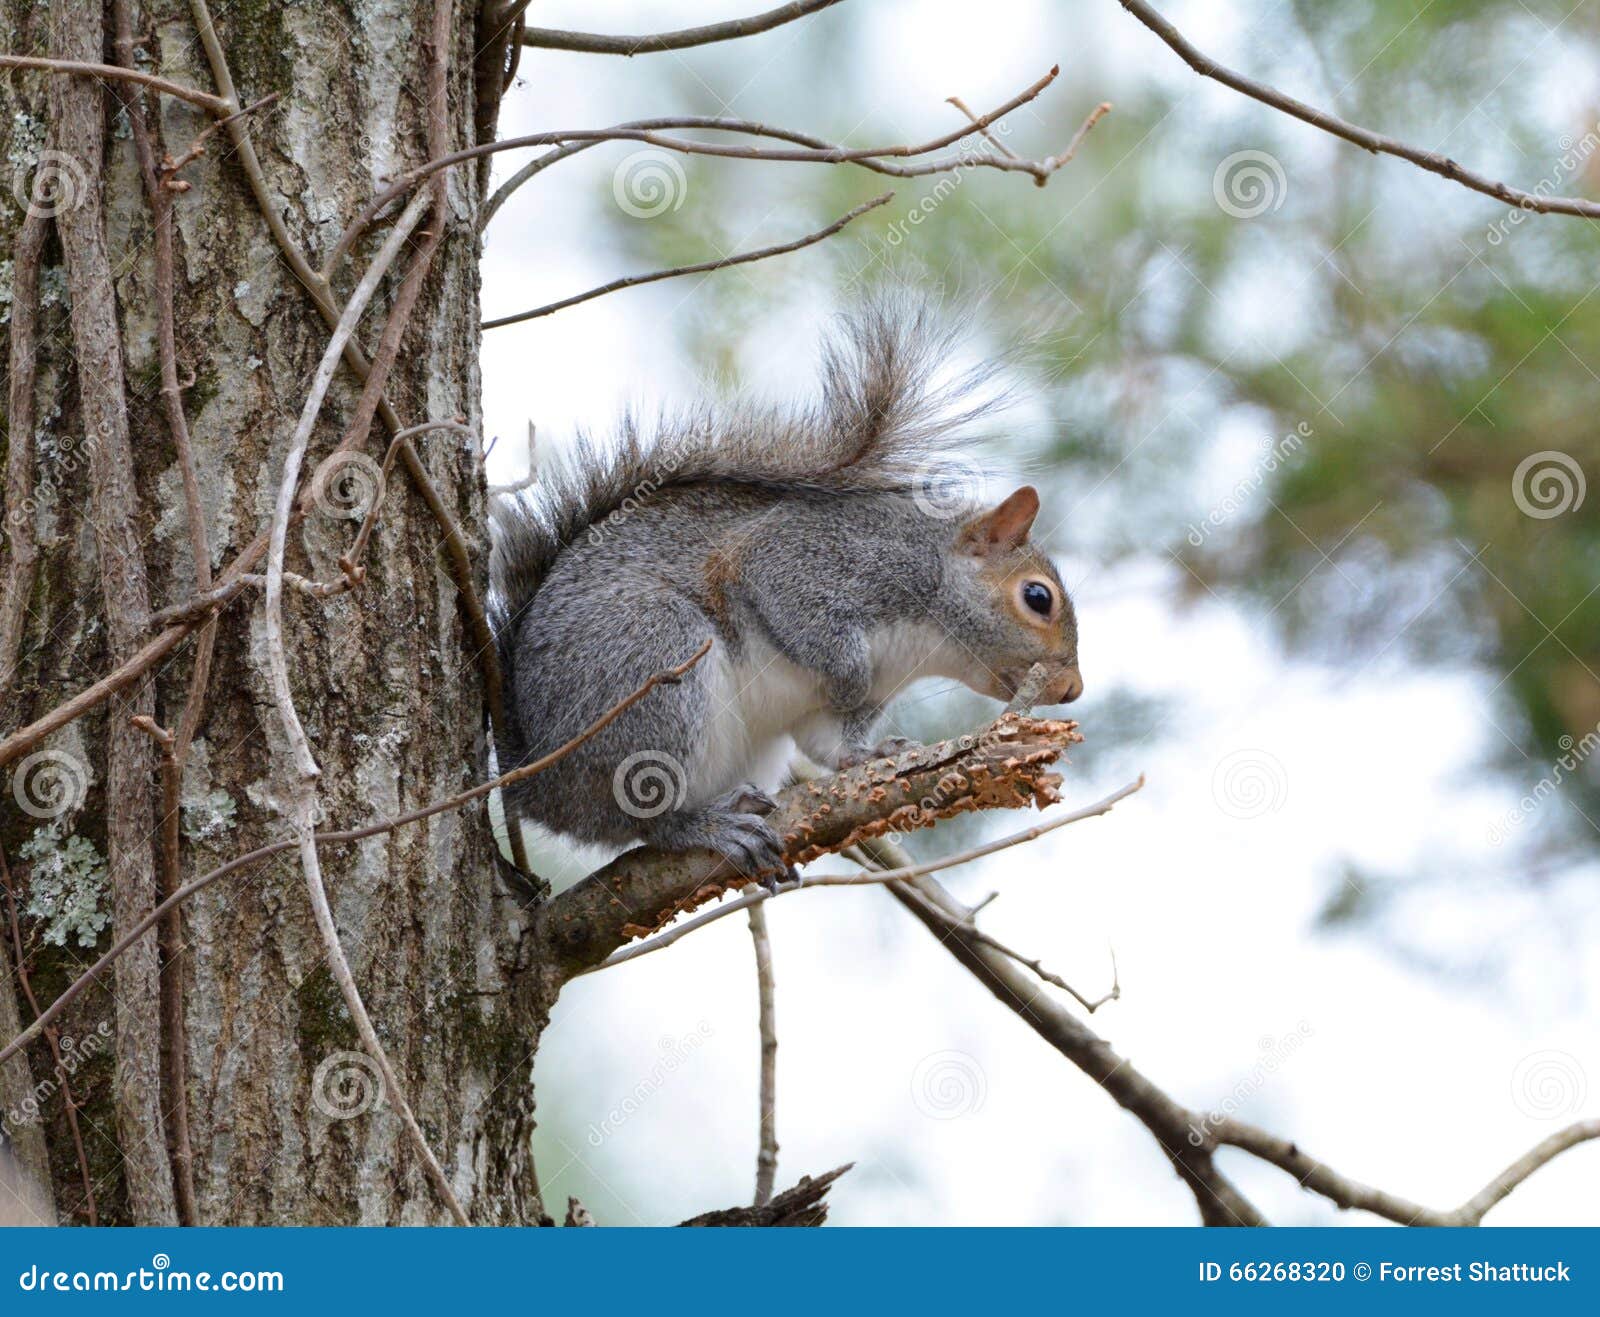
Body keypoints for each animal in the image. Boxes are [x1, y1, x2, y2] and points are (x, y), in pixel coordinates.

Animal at [489, 300, 1082, 888]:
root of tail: (542, 787)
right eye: (1037, 598)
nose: (1072, 689)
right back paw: (703, 826)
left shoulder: (845, 705)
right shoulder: (809, 562)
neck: (924, 641)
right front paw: (848, 675)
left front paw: (873, 753)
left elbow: (829, 741)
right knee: (642, 810)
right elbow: (800, 614)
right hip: (648, 659)